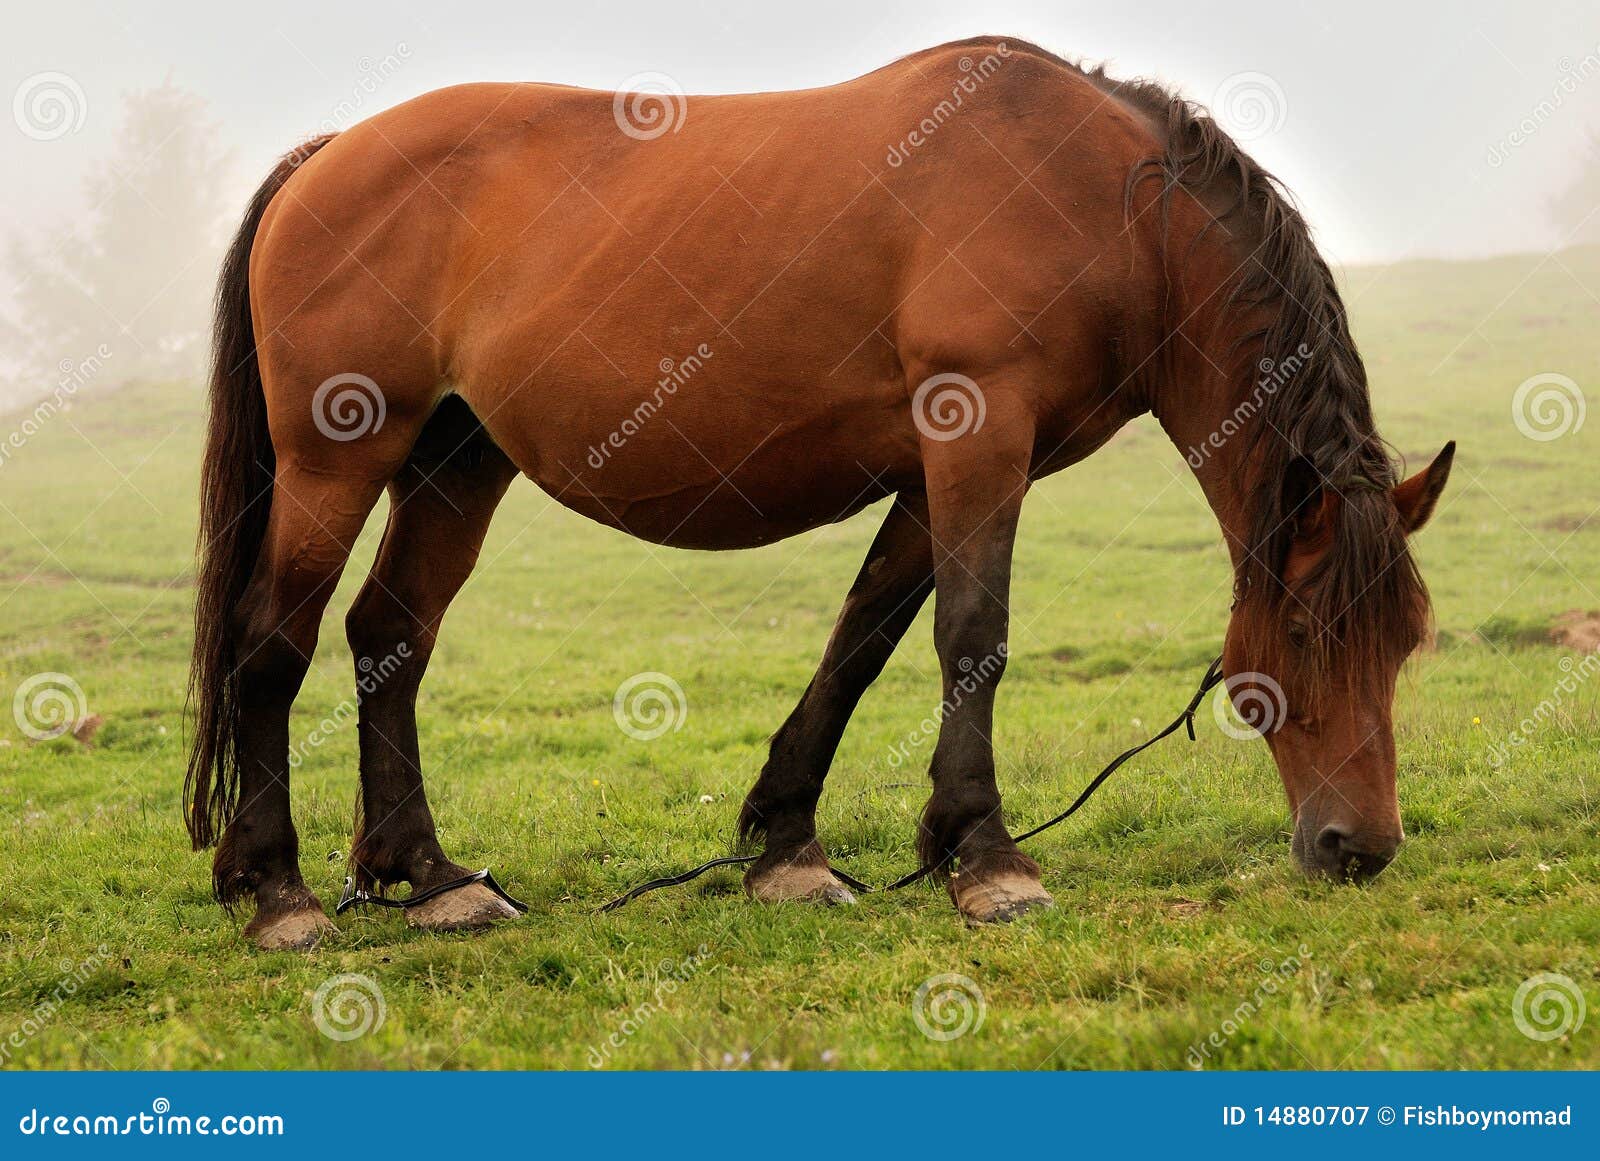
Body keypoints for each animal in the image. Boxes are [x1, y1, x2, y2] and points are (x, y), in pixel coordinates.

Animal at [185, 36, 1454, 949]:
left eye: (1403, 643)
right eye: (1304, 633)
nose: (1360, 846)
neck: (1110, 204)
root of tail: (328, 154)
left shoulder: (941, 467)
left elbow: (864, 639)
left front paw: (791, 844)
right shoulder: (978, 431)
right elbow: (970, 634)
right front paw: (989, 861)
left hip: (458, 461)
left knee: (389, 636)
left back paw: (431, 877)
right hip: (337, 463)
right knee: (273, 644)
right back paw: (279, 893)